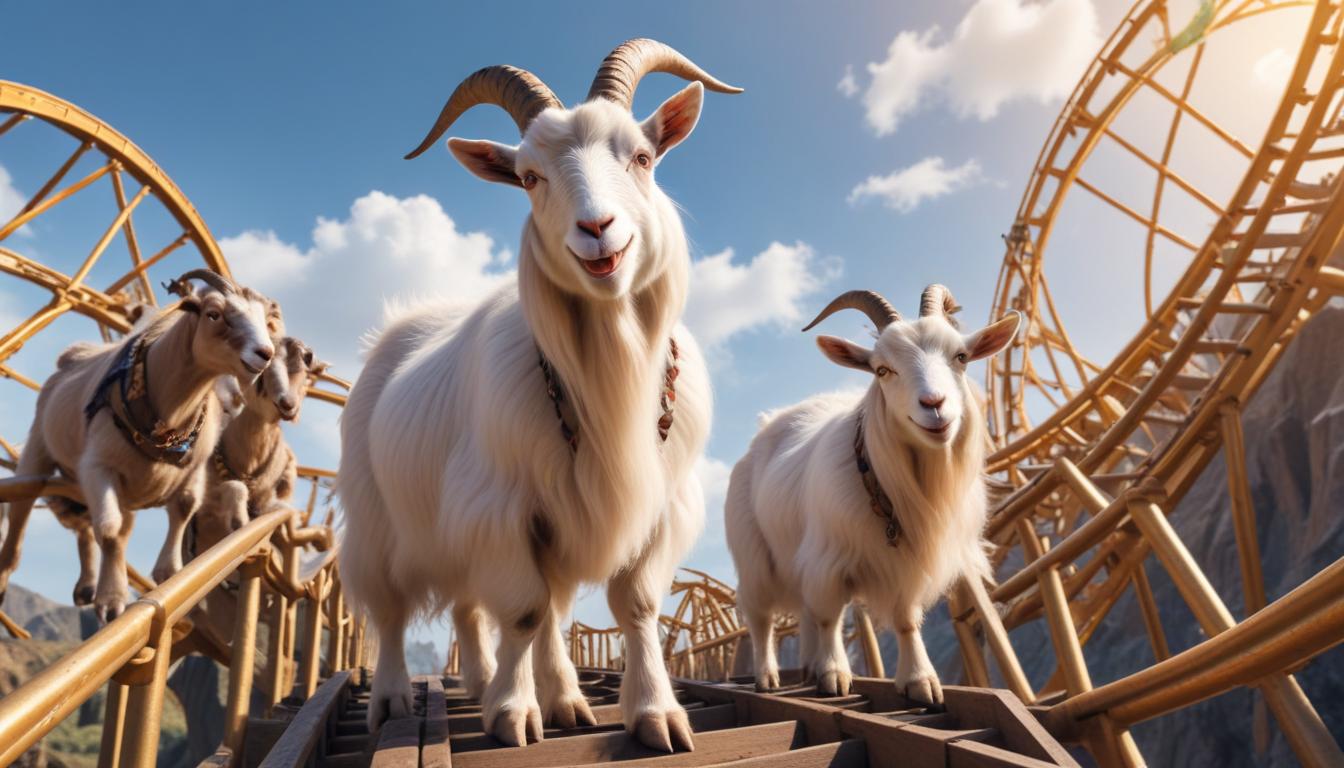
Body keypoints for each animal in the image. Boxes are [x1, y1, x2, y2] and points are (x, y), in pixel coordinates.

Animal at [0, 270, 276, 621]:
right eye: (214, 313)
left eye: (265, 321)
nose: (265, 353)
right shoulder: (97, 466)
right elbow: (108, 529)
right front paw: (112, 600)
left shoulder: (193, 470)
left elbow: (183, 508)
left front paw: (169, 574)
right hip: (38, 452)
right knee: (20, 530)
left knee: (96, 528)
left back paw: (85, 587)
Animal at [338, 39, 738, 751]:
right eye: (528, 177)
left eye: (642, 156)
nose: (597, 228)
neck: (608, 372)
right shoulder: (497, 506)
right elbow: (523, 612)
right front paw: (512, 715)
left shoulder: (654, 508)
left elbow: (633, 606)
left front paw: (654, 714)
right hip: (379, 519)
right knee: (390, 609)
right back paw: (394, 700)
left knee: (487, 607)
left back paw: (552, 697)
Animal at [725, 285, 1019, 703]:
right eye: (882, 370)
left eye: (961, 357)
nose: (934, 405)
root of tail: (767, 425)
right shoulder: (827, 559)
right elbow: (830, 617)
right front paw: (835, 674)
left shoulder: (906, 567)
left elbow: (906, 620)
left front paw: (920, 681)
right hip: (754, 556)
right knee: (762, 618)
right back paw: (769, 676)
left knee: (804, 613)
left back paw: (811, 666)